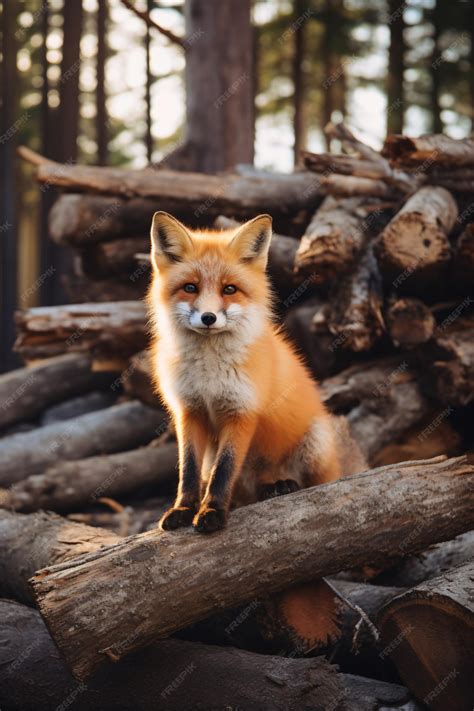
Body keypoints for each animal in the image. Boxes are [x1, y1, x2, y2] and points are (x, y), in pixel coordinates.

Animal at [148, 211, 366, 533]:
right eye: (190, 287)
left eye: (229, 289)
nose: (208, 317)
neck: (209, 374)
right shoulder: (189, 412)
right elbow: (189, 471)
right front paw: (184, 509)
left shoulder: (241, 411)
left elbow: (224, 471)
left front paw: (212, 512)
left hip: (315, 442)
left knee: (312, 484)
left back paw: (283, 486)